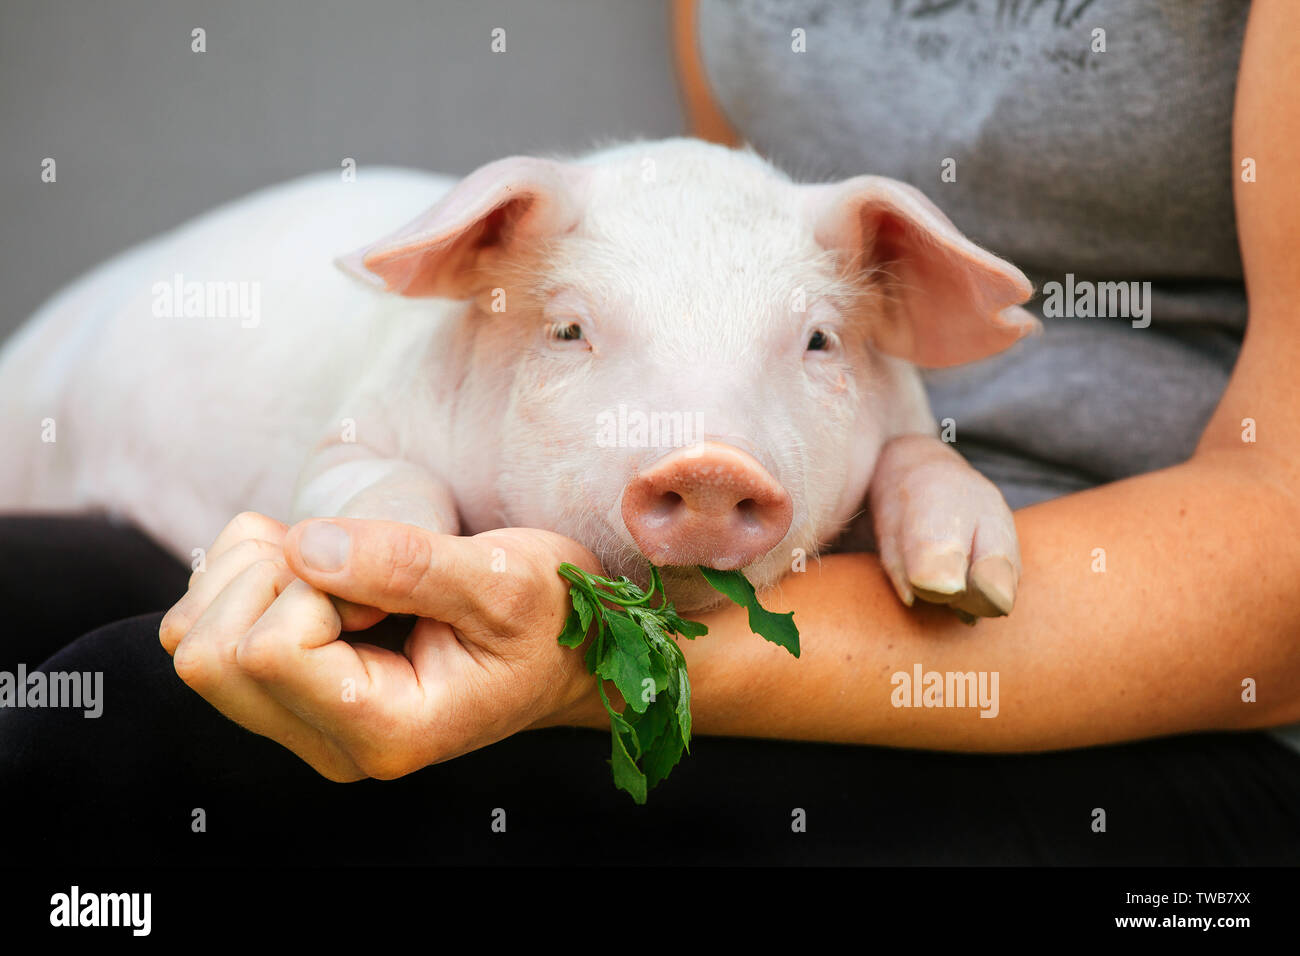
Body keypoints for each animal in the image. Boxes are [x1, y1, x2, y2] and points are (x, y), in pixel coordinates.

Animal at [0, 138, 1037, 615]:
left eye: (818, 341)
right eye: (569, 328)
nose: (710, 466)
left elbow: (920, 454)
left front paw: (970, 585)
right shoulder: (352, 431)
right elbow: (369, 477)